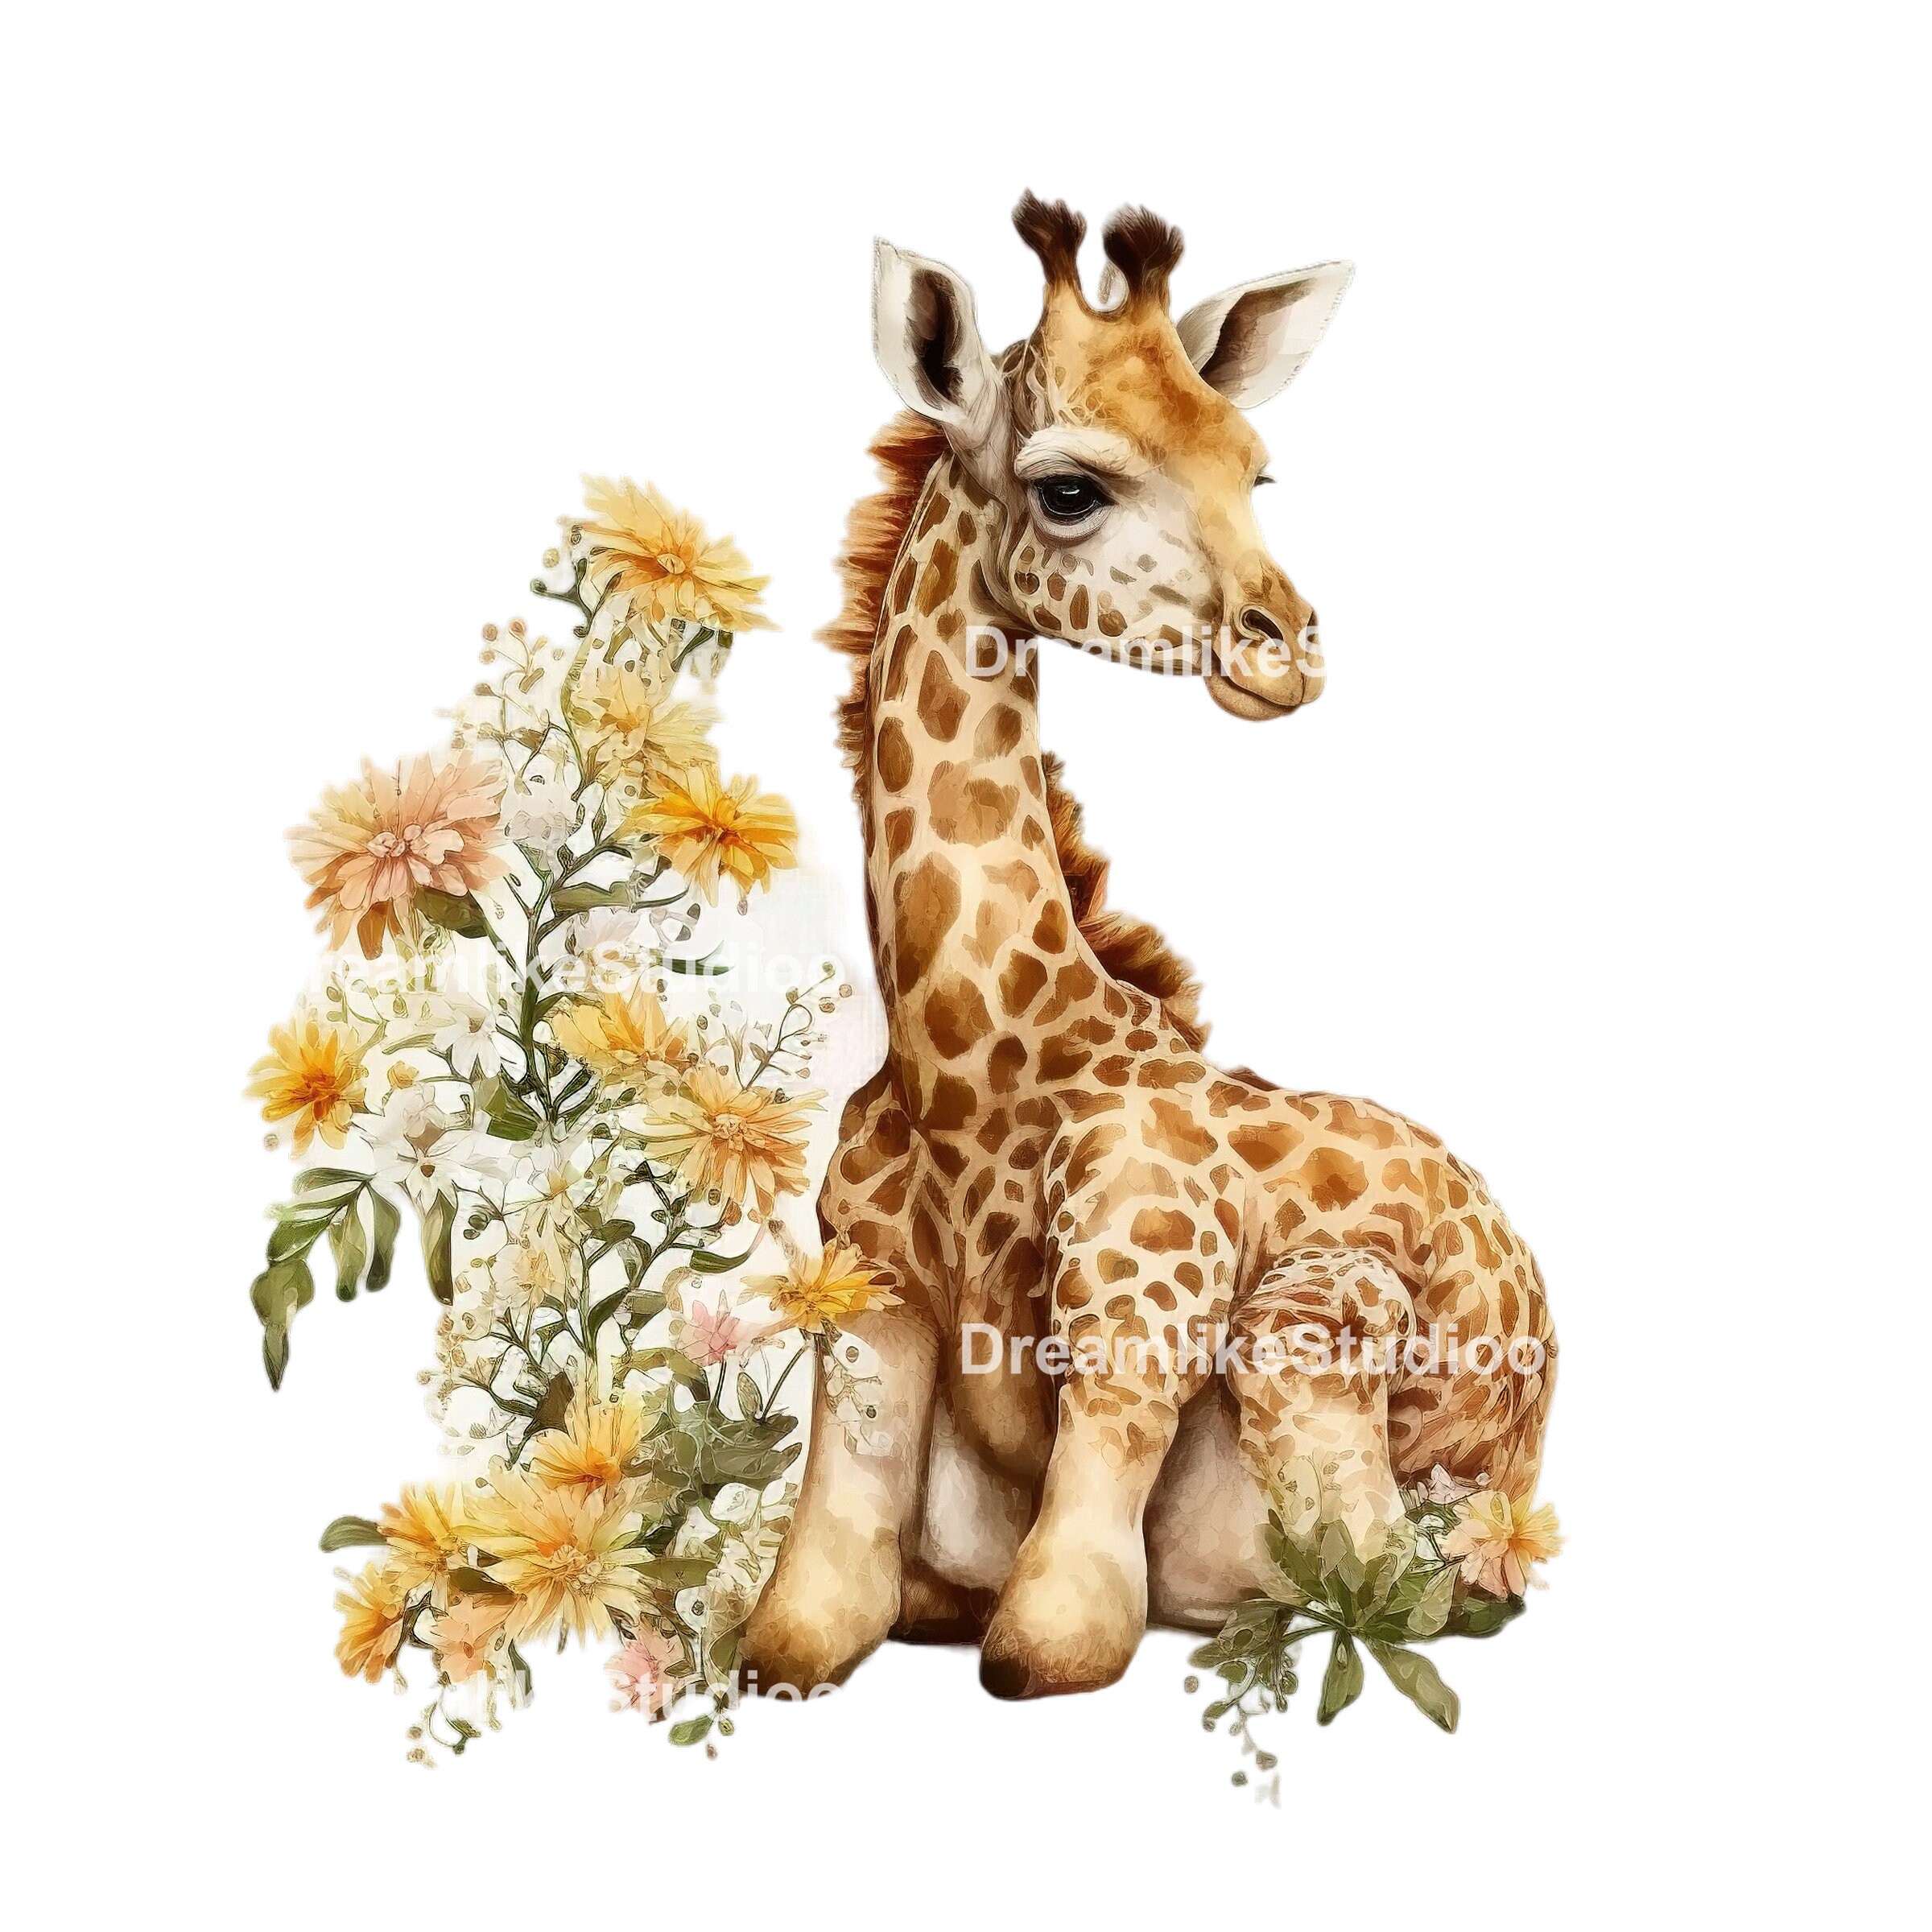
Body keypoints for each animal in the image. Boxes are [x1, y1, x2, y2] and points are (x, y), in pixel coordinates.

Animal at [740, 196, 1556, 1700]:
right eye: (1071, 489)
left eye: (1256, 469)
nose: (1286, 649)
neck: (961, 1069)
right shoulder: (864, 1317)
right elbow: (798, 1625)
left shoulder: (1137, 1333)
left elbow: (1039, 1645)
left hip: (1317, 1340)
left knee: (1414, 1588)